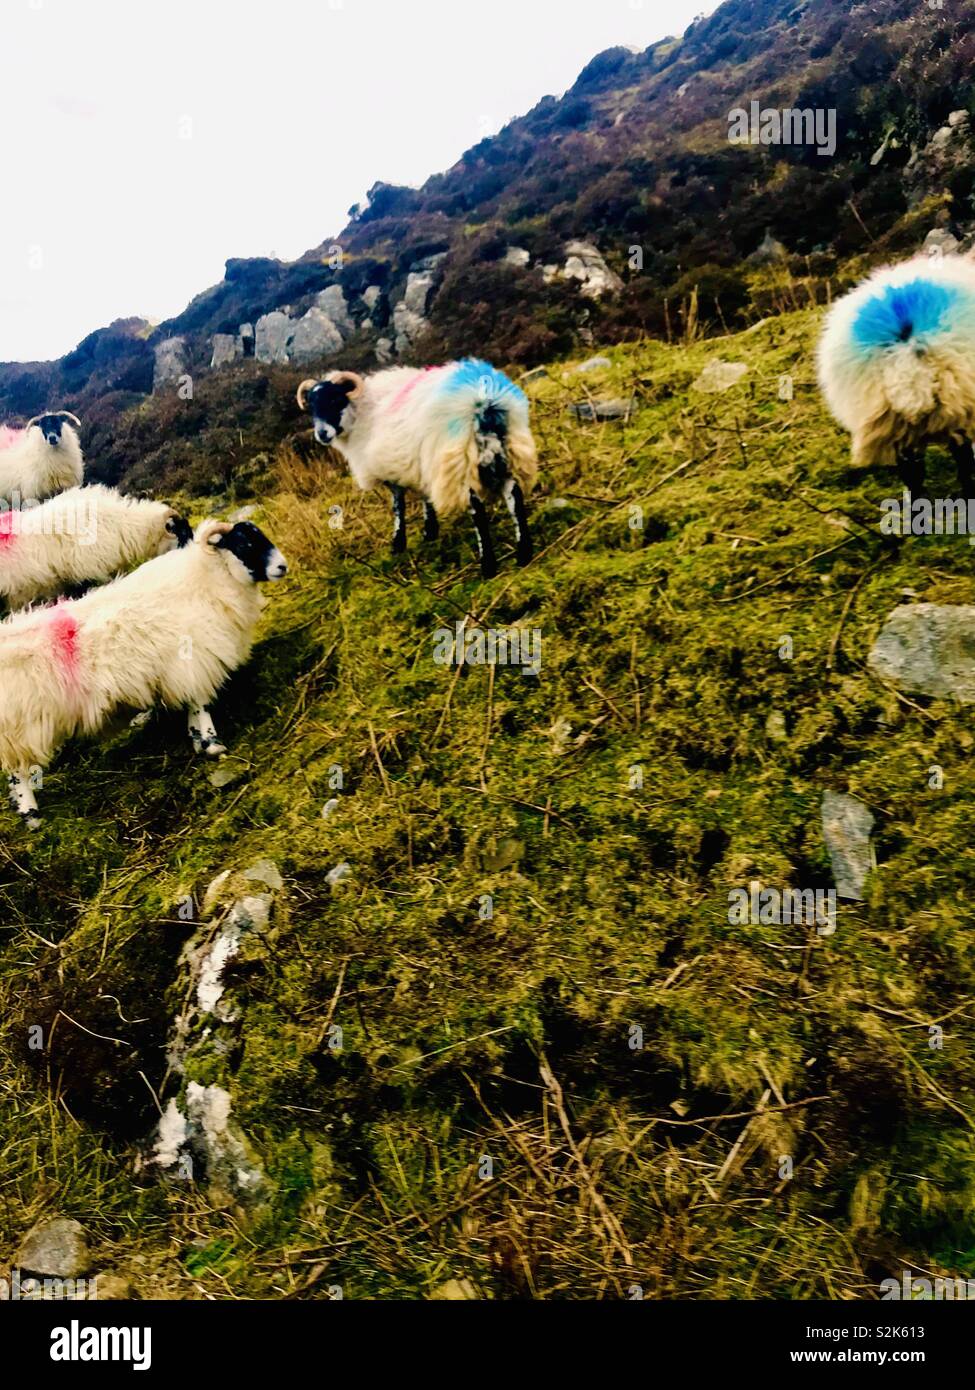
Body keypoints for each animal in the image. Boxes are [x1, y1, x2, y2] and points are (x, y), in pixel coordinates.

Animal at [0, 519, 287, 829]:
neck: (206, 578)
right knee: (17, 772)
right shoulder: (193, 660)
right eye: (244, 543)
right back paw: (30, 814)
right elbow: (201, 702)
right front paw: (211, 743)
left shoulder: (180, 670)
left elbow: (191, 705)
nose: (282, 566)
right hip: (19, 727)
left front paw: (197, 737)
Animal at [296, 358, 538, 578]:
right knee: (514, 495)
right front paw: (429, 531)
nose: (322, 434)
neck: (363, 413)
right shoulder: (416, 462)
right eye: (311, 406)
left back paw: (488, 566)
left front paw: (398, 543)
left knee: (477, 510)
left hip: (458, 459)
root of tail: (482, 402)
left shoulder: (392, 468)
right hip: (510, 450)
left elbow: (398, 506)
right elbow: (425, 496)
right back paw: (524, 554)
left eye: (335, 399)